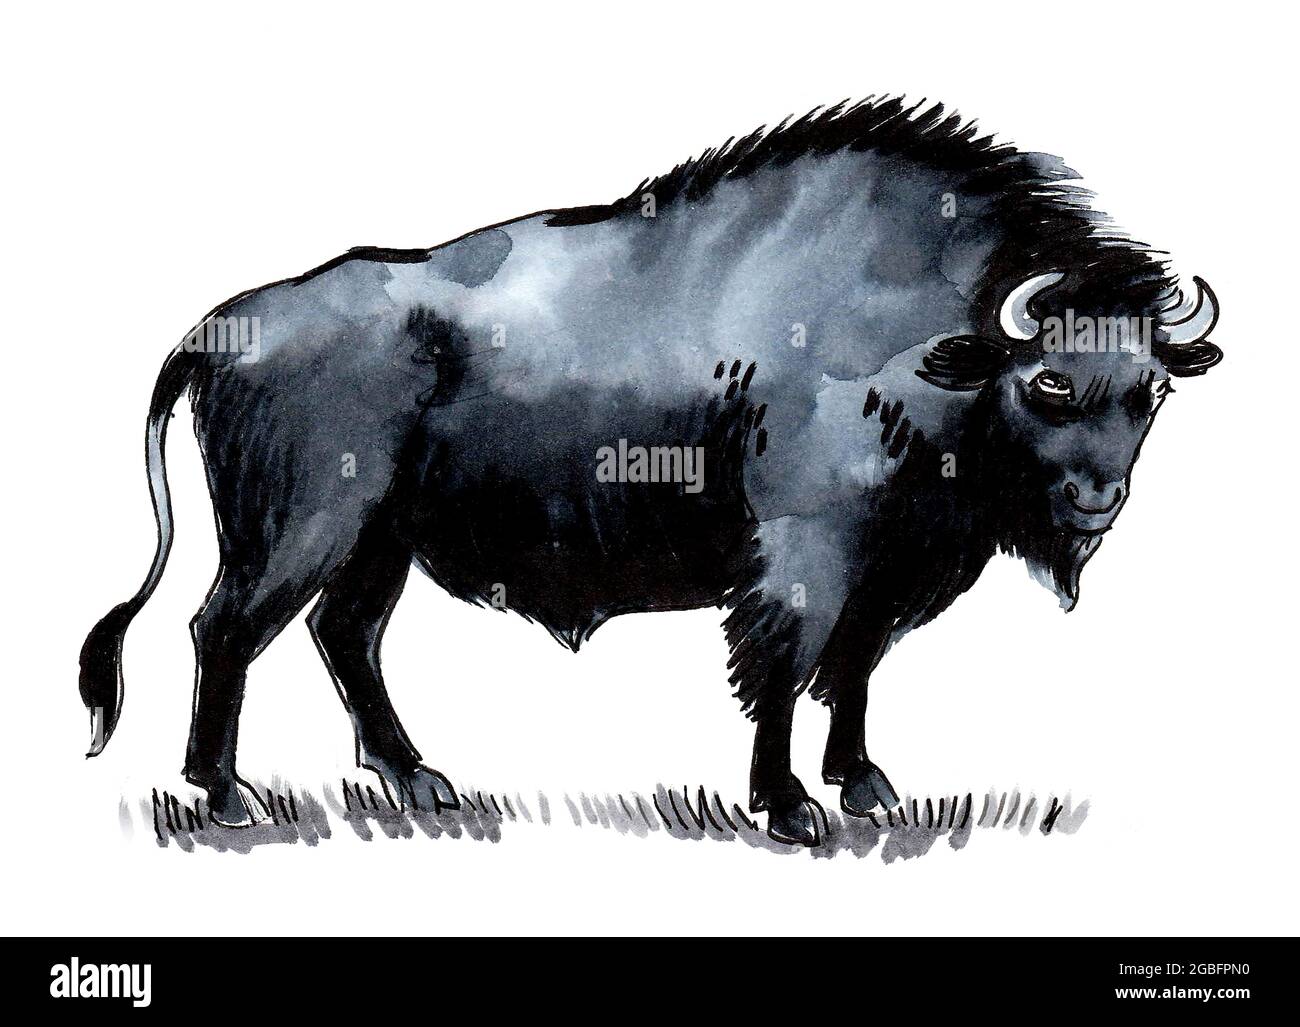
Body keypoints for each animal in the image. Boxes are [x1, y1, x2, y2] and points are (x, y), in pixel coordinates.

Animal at [80, 98, 1221, 845]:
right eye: (1049, 382)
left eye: (1150, 392)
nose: (1098, 496)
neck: (941, 334)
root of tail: (220, 330)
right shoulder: (806, 558)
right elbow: (783, 668)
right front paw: (791, 808)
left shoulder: (889, 571)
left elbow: (852, 671)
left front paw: (866, 787)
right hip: (300, 531)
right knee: (227, 630)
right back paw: (228, 796)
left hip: (377, 543)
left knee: (343, 636)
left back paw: (423, 783)